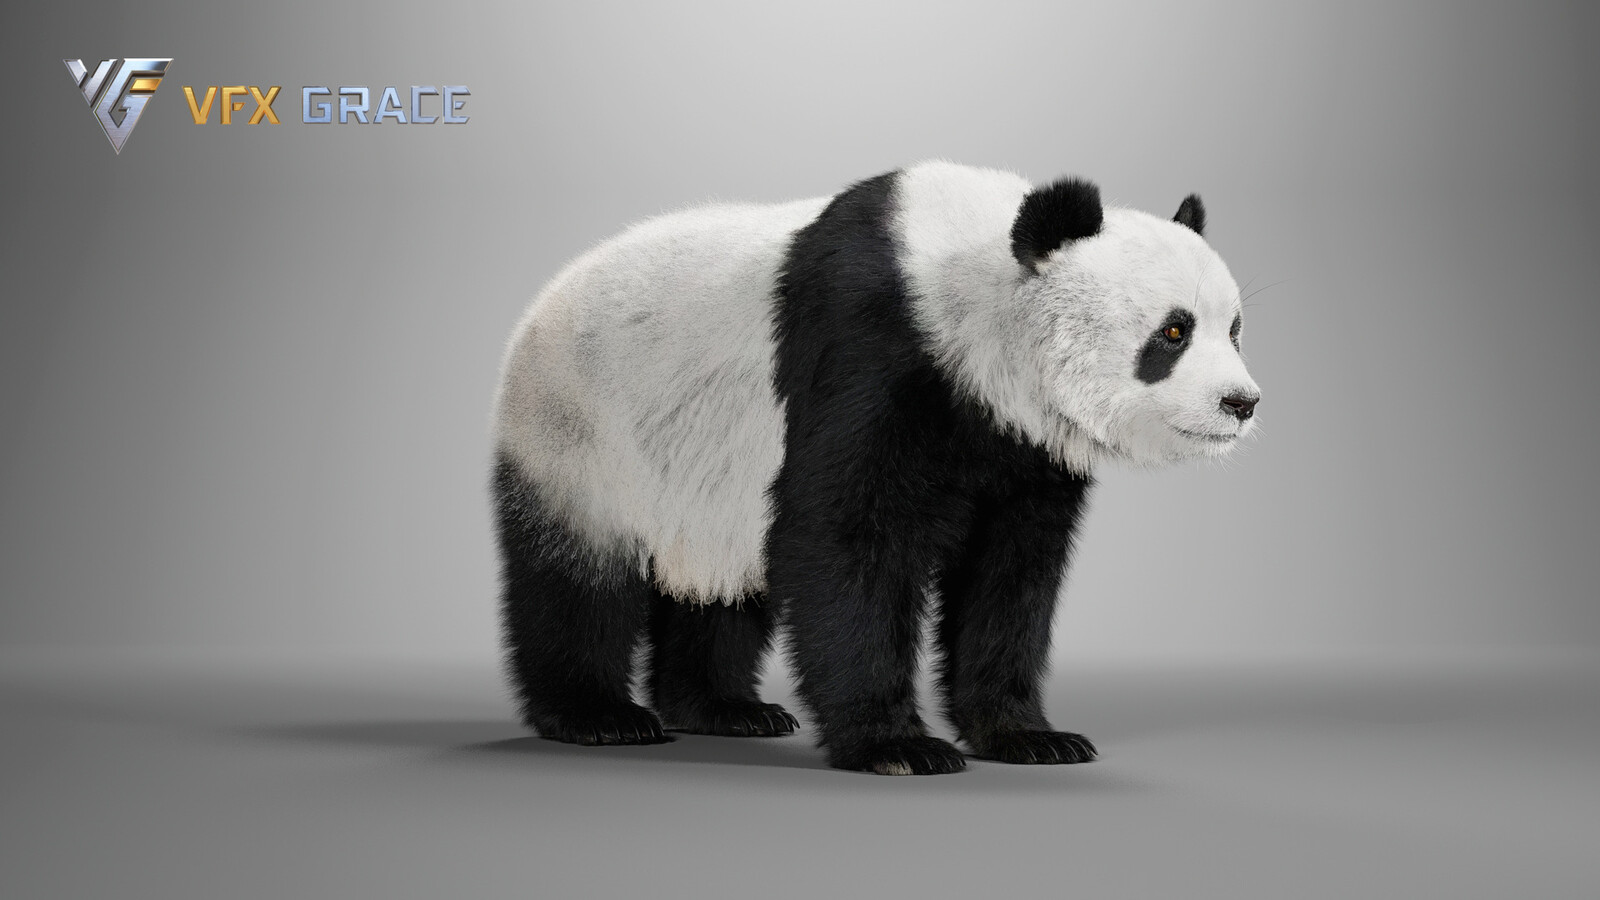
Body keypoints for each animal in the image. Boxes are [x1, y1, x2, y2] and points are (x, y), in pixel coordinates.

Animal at [491, 161, 1260, 775]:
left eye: (1234, 329)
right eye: (1173, 331)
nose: (1242, 403)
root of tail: (541, 305)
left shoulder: (1017, 442)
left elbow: (1011, 571)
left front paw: (1029, 736)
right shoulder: (868, 347)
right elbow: (848, 540)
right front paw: (899, 747)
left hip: (708, 476)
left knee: (724, 583)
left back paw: (723, 708)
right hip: (581, 424)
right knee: (578, 577)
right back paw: (598, 716)